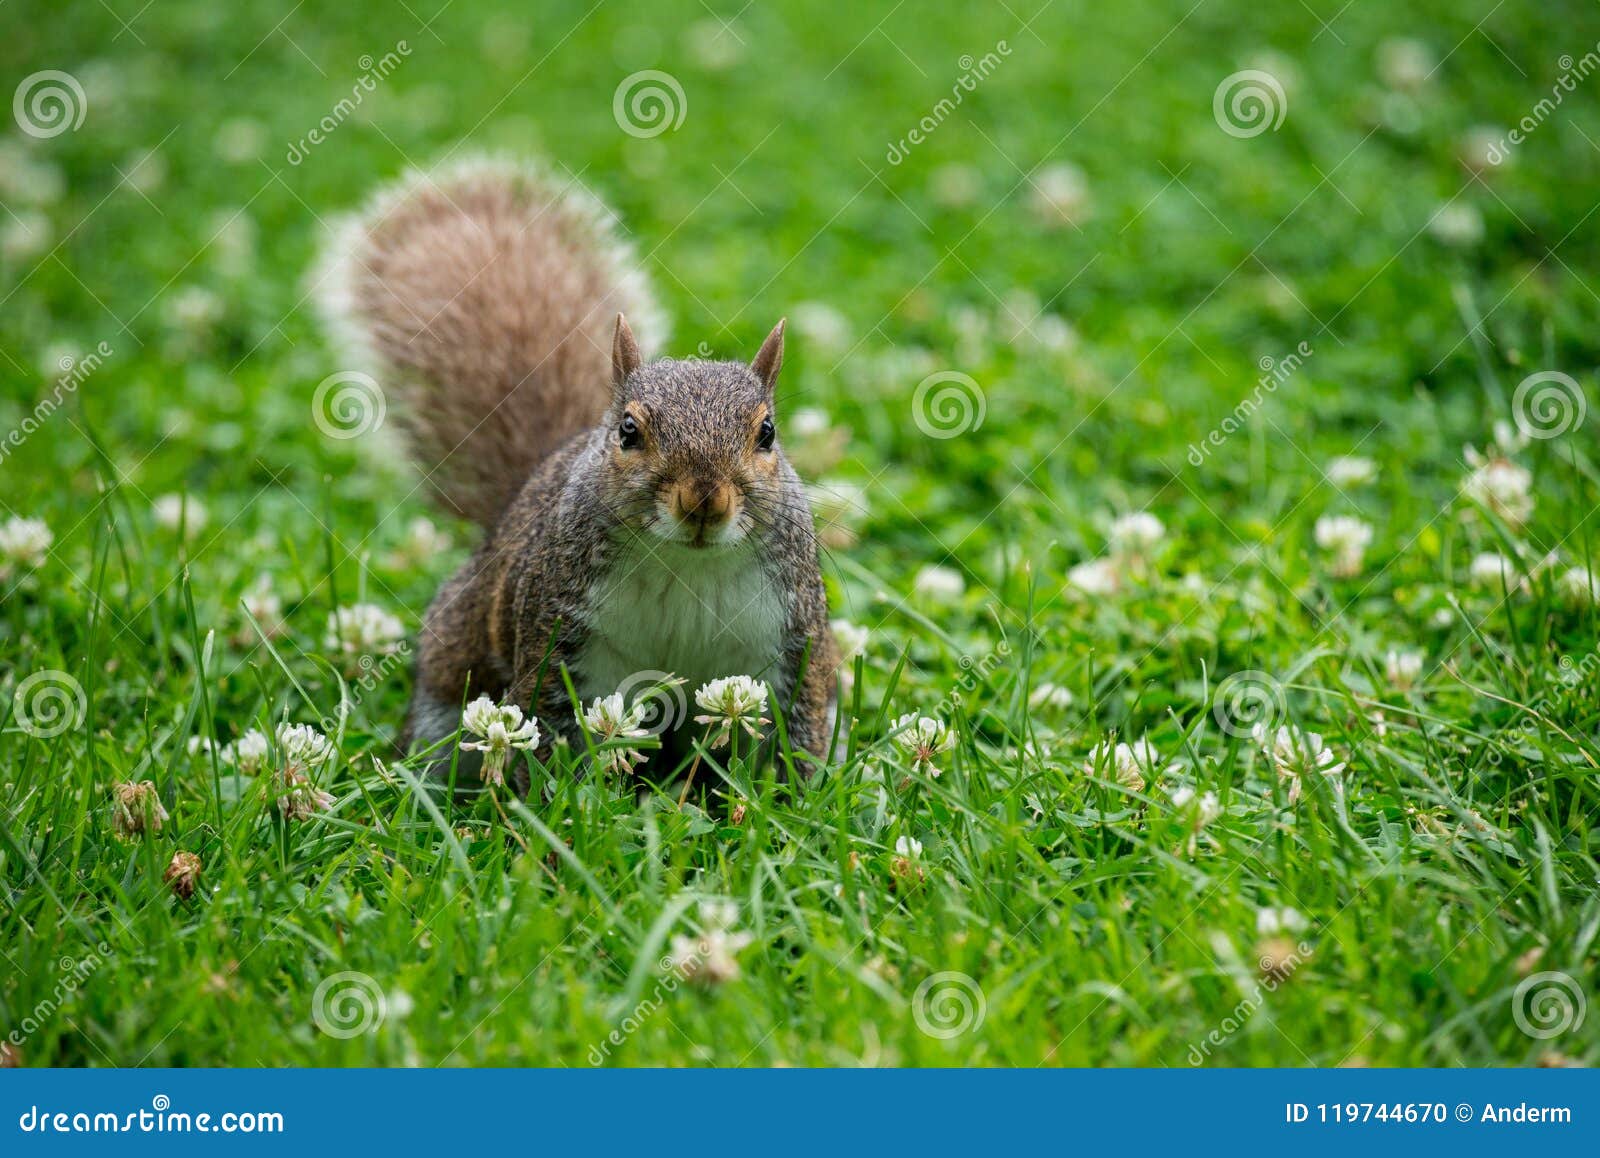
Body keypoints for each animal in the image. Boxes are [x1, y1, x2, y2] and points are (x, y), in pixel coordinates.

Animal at [314, 157, 840, 791]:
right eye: (628, 431)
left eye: (767, 433)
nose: (703, 502)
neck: (686, 565)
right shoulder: (557, 642)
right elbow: (547, 730)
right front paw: (548, 804)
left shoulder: (791, 645)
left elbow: (795, 734)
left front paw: (796, 799)